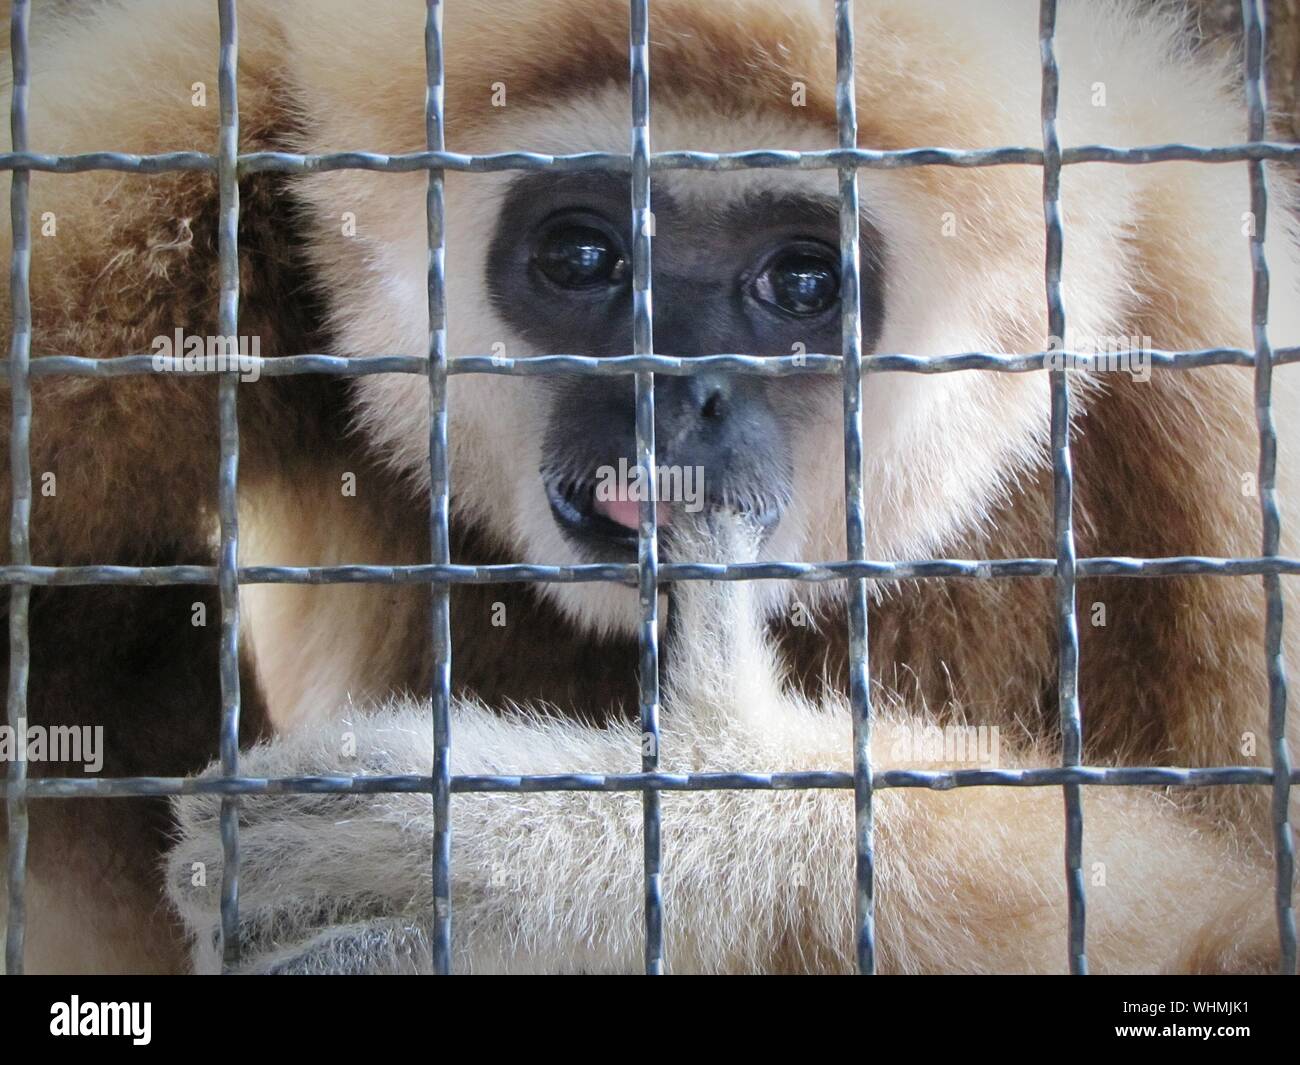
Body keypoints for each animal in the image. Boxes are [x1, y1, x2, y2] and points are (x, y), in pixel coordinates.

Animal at [2, 0, 1299, 973]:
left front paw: (611, 845)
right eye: (581, 256)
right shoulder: (169, 150)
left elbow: (1246, 927)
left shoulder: (1208, 337)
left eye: (803, 281)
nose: (671, 387)